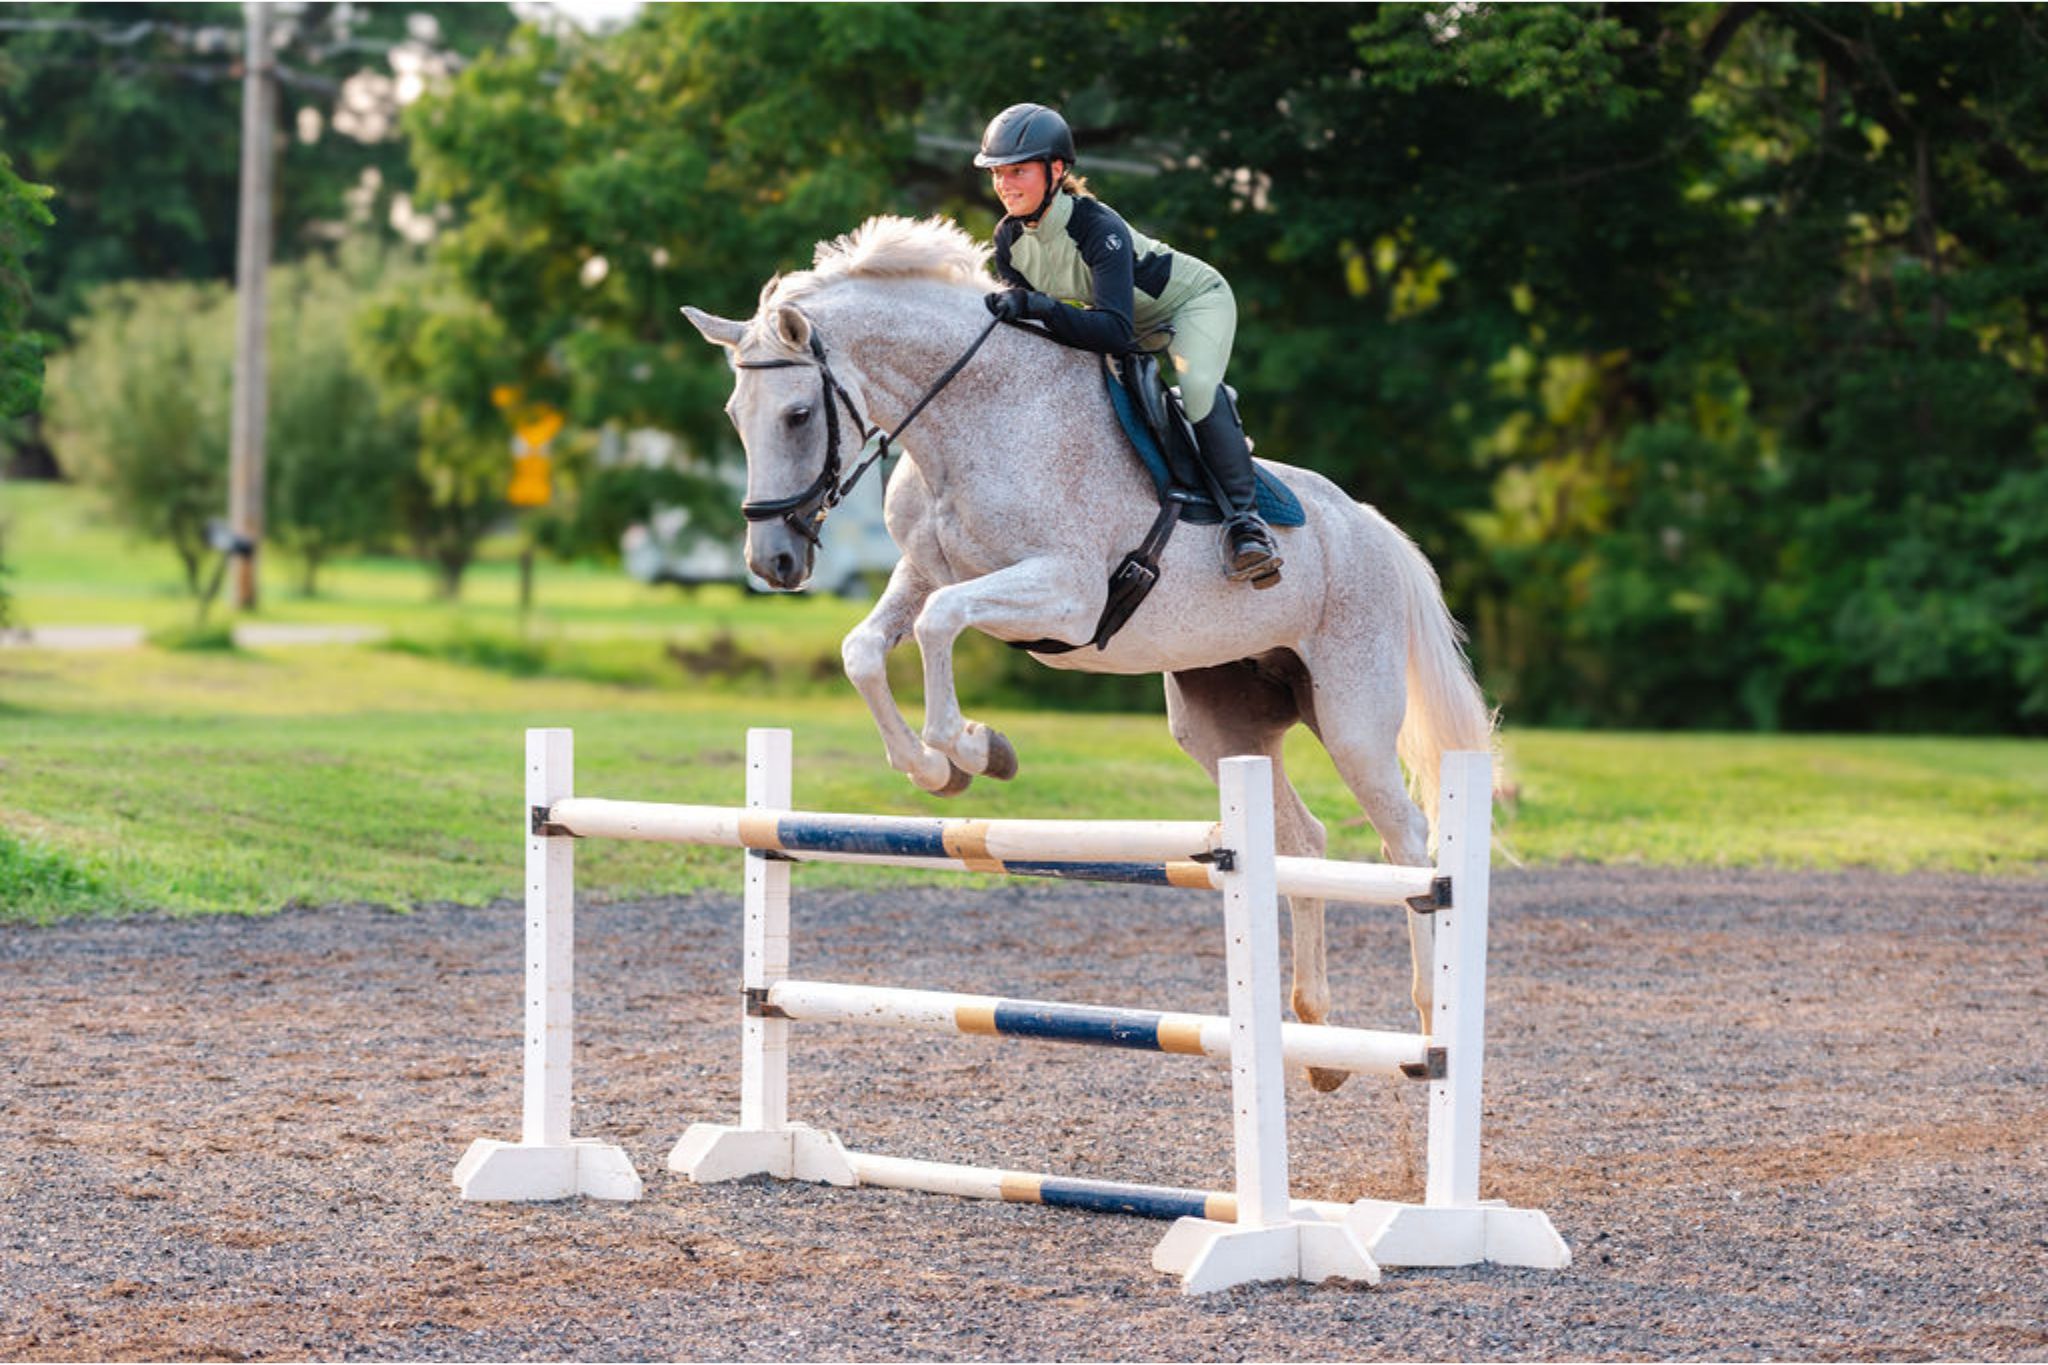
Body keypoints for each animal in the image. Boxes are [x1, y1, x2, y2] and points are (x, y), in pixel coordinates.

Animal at [682, 215, 1495, 1091]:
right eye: (735, 414)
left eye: (799, 414)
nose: (773, 562)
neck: (971, 420)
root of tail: (1372, 526)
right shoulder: (924, 570)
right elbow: (865, 648)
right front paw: (935, 768)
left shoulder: (1067, 596)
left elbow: (937, 625)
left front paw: (973, 747)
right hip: (1221, 723)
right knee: (1302, 840)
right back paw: (1316, 1038)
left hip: (1351, 716)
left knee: (1408, 841)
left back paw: (1427, 1023)